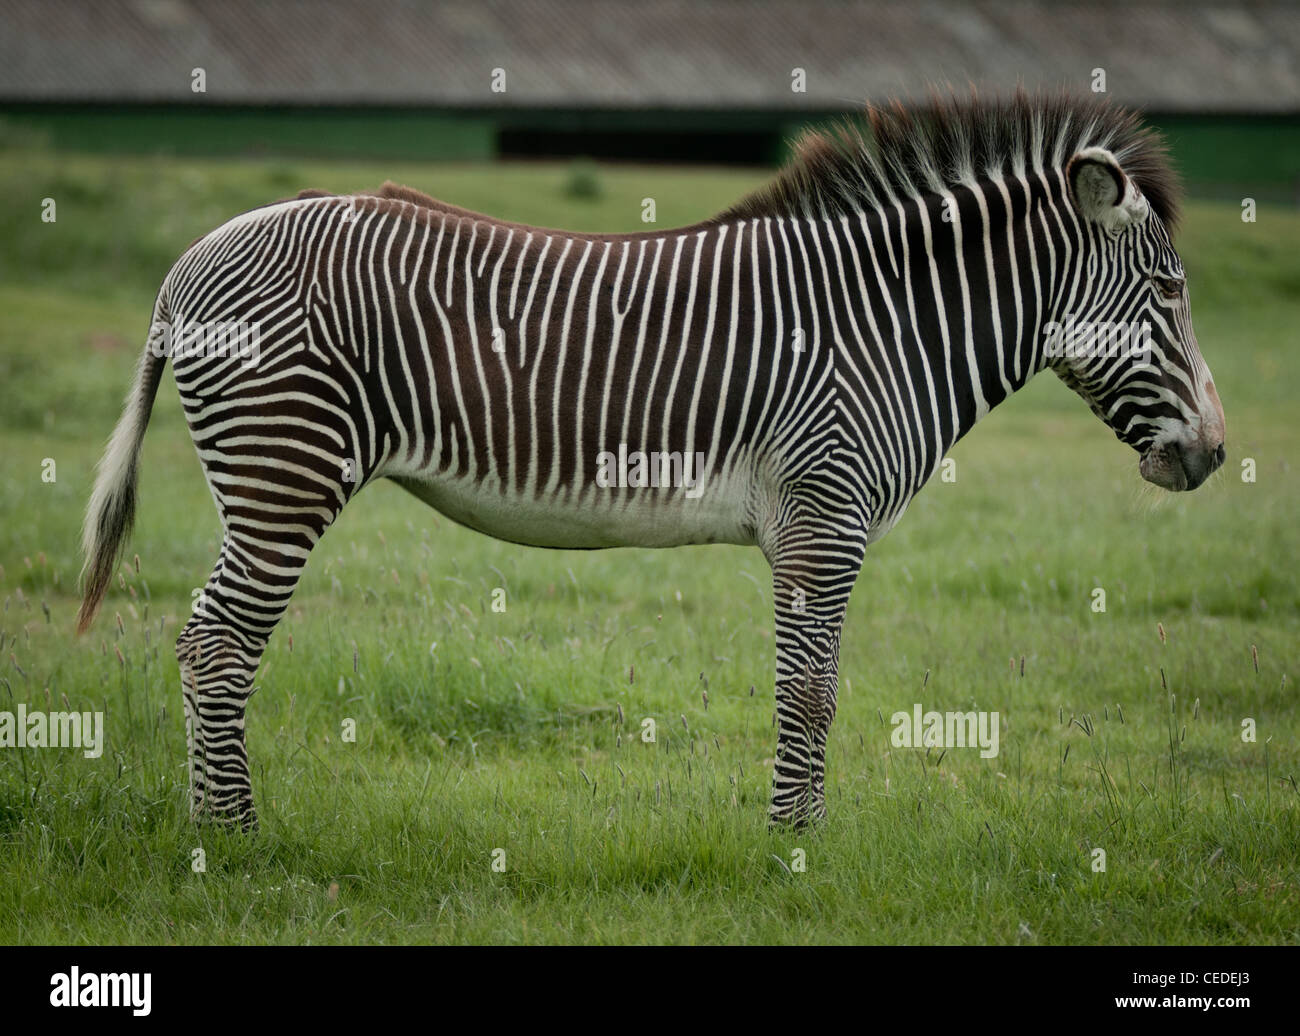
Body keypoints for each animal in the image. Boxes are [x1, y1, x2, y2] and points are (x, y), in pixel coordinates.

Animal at [78, 91, 1225, 830]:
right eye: (1170, 293)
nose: (1215, 456)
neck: (885, 323)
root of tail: (188, 263)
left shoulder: (815, 525)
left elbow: (809, 684)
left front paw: (796, 834)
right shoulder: (823, 515)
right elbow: (810, 690)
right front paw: (794, 846)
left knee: (207, 640)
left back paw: (213, 824)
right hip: (286, 468)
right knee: (217, 644)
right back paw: (233, 836)